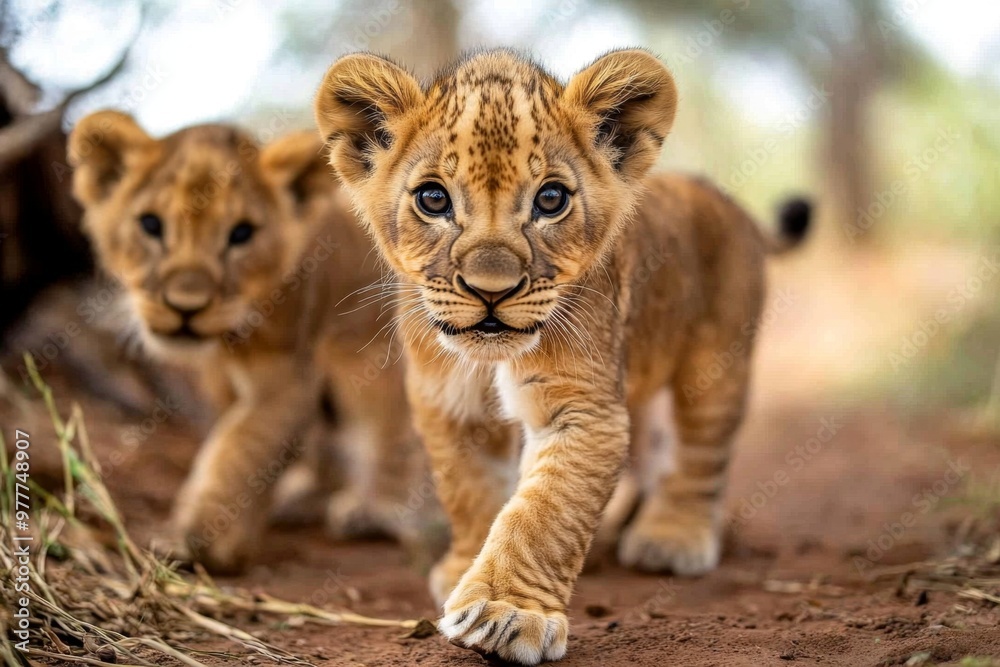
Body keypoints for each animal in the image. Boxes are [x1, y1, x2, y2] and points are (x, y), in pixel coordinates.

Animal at [68, 111, 429, 573]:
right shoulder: (222, 380)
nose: (186, 307)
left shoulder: (283, 378)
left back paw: (373, 512)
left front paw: (196, 542)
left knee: (390, 434)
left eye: (242, 234)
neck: (225, 343)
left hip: (371, 364)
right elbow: (244, 451)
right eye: (150, 225)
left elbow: (239, 451)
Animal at [314, 49, 811, 664]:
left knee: (699, 452)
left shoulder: (583, 408)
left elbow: (544, 513)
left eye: (550, 199)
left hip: (715, 364)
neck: (487, 362)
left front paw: (505, 613)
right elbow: (468, 490)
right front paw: (461, 570)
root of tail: (727, 199)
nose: (492, 290)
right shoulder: (448, 403)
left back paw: (672, 537)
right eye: (433, 199)